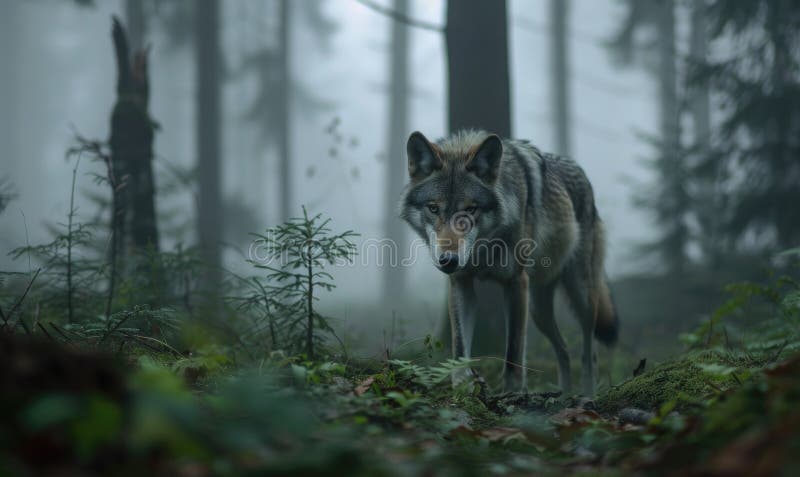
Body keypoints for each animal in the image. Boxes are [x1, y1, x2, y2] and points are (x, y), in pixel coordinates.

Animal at [399, 130, 619, 396]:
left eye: (471, 210)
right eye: (433, 208)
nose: (448, 260)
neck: (483, 249)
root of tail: (582, 173)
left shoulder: (515, 284)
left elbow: (513, 352)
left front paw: (513, 394)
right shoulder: (461, 284)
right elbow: (460, 347)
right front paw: (462, 389)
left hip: (580, 296)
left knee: (589, 353)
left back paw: (587, 395)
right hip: (538, 309)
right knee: (564, 349)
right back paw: (564, 394)